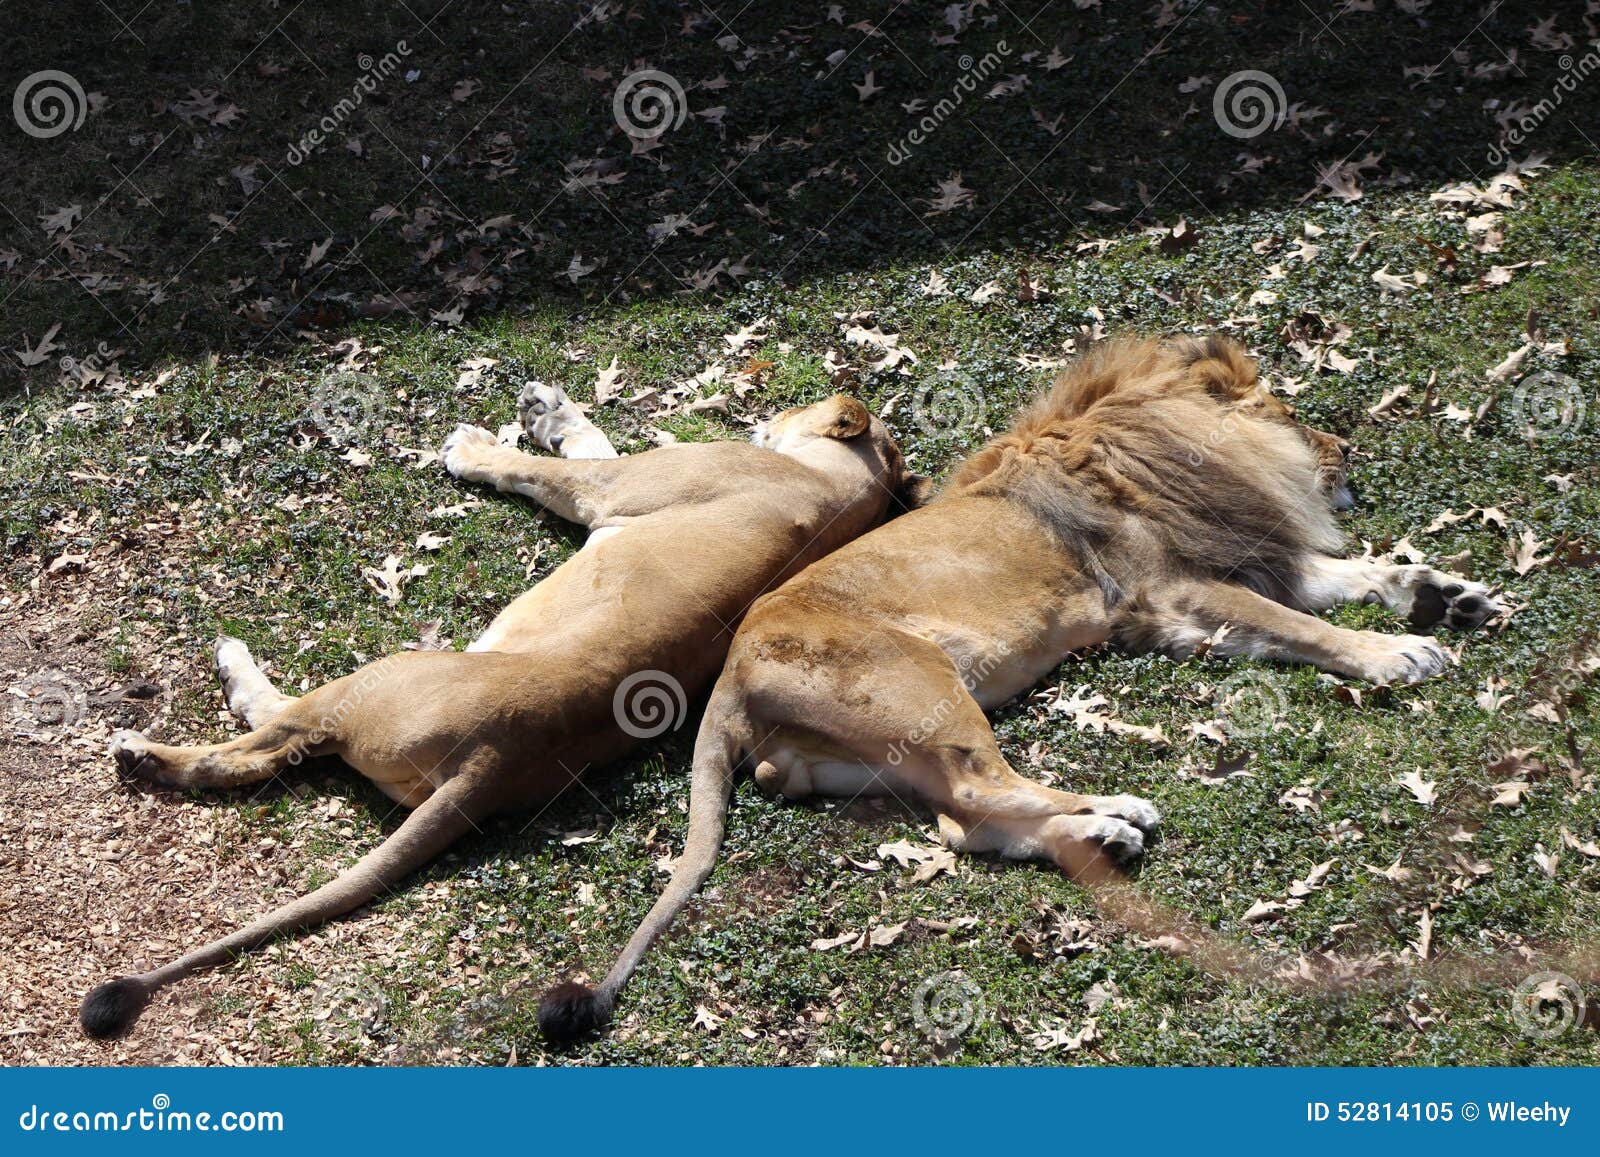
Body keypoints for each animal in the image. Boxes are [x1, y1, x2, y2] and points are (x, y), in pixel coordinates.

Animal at [80, 383, 923, 1039]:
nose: (767, 412)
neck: (833, 487)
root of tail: (493, 762)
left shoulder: (615, 491)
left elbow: (541, 469)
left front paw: (474, 446)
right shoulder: (618, 488)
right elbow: (586, 440)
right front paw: (547, 407)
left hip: (375, 678)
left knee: (261, 743)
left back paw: (171, 722)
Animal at [538, 335, 1505, 1039]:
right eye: (1294, 416)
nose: (1349, 451)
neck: (1151, 448)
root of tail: (729, 681)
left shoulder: (1230, 563)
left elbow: (1353, 577)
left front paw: (1447, 594)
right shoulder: (1172, 592)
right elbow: (1309, 625)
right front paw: (1400, 653)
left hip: (884, 753)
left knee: (964, 823)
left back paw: (1101, 834)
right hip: (925, 685)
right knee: (982, 789)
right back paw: (1119, 810)